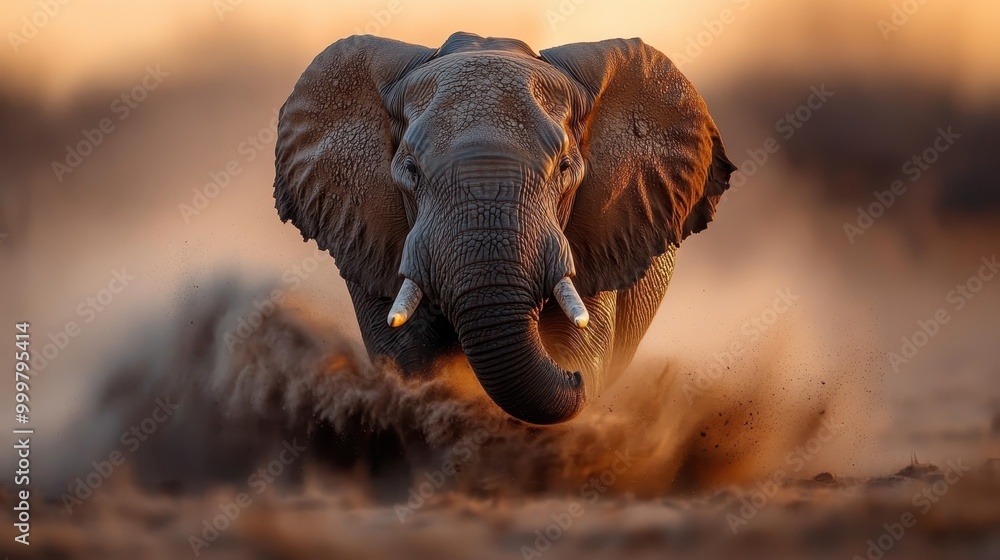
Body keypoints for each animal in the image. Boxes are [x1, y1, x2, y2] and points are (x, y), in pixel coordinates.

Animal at [273, 32, 735, 425]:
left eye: (564, 169)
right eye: (410, 170)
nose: (576, 379)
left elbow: (579, 341)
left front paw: (572, 362)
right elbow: (406, 356)